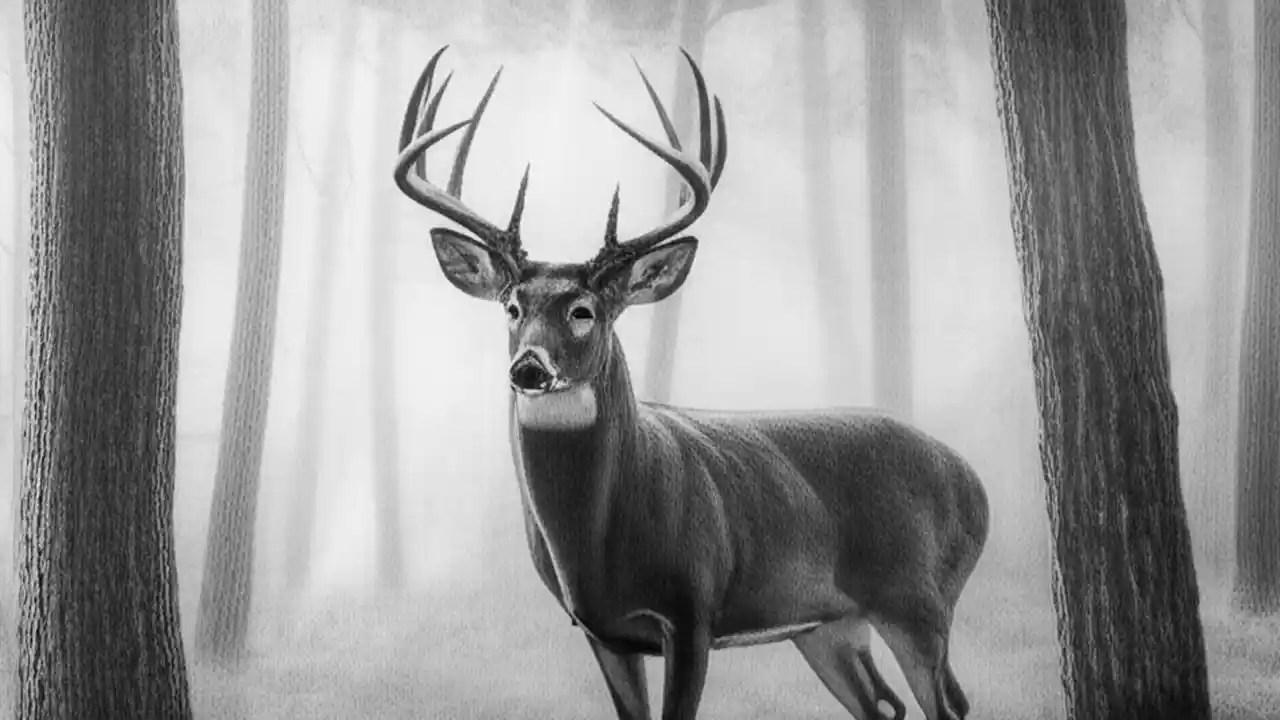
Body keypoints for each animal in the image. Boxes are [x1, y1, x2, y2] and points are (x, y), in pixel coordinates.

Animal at [393, 46, 990, 720]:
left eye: (584, 310)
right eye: (511, 306)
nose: (528, 368)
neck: (597, 544)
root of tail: (974, 483)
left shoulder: (692, 610)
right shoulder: (604, 634)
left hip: (918, 599)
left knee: (948, 703)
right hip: (826, 624)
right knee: (884, 704)